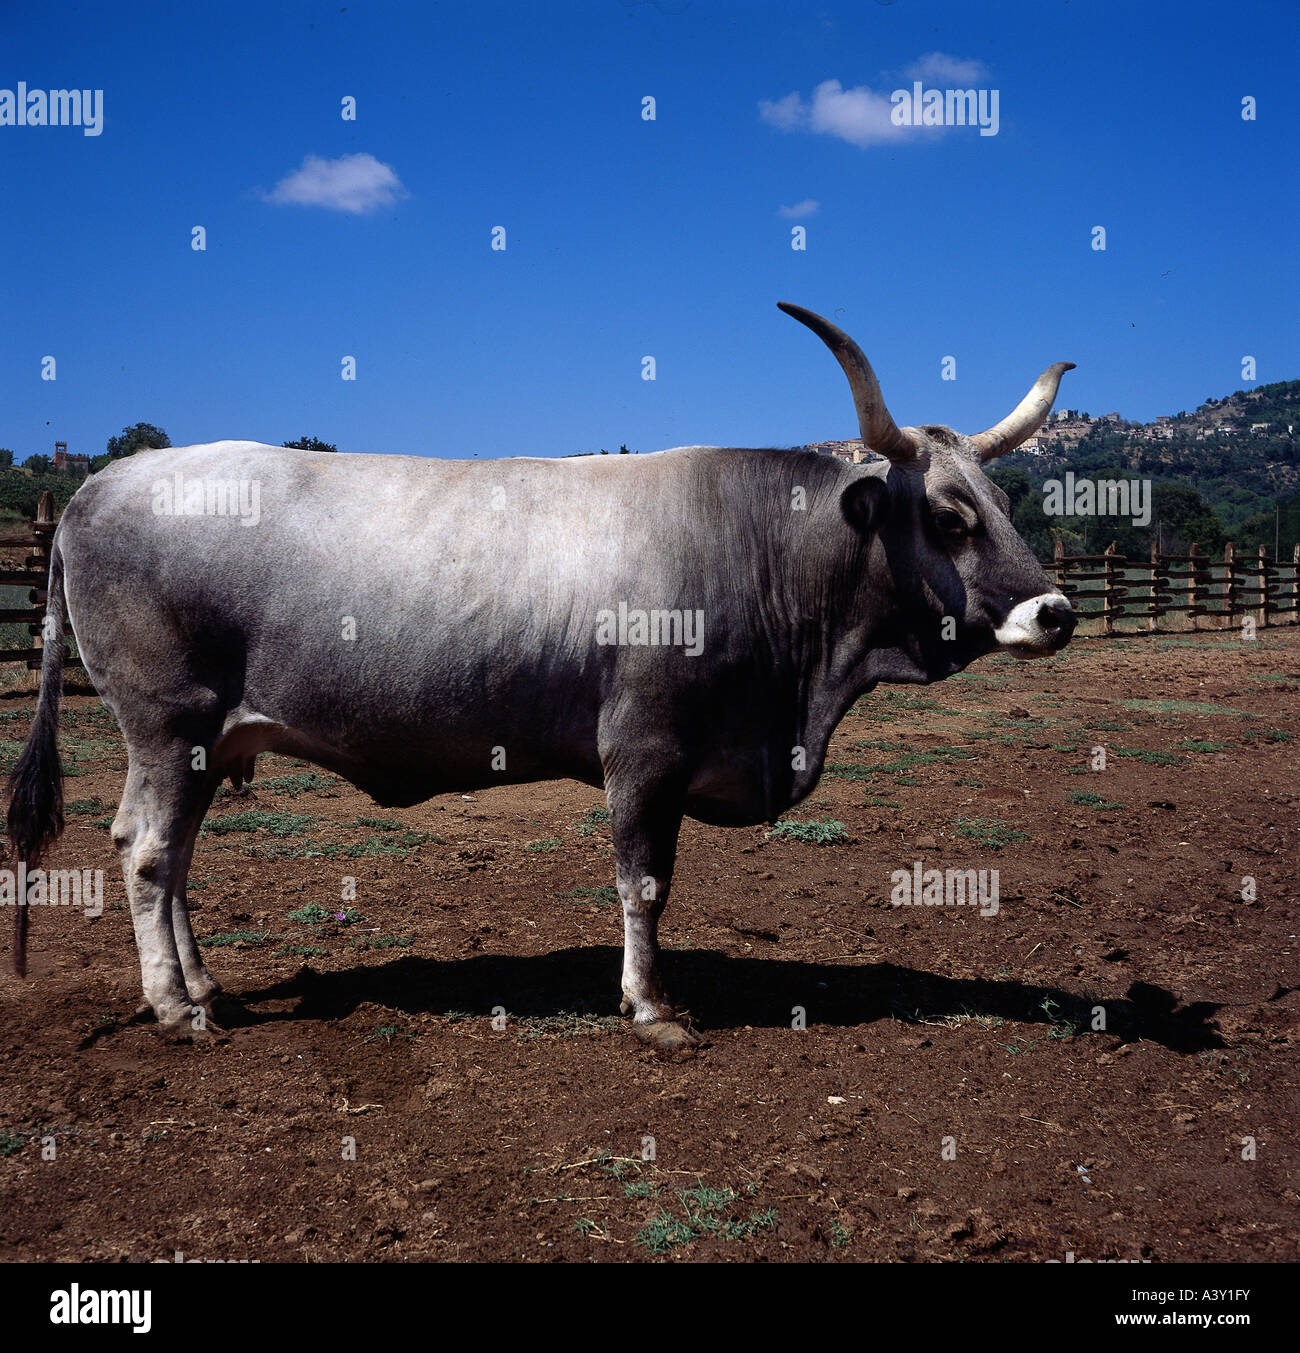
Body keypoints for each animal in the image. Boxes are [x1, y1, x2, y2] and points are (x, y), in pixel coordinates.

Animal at [6, 304, 1076, 1052]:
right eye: (949, 516)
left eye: (1002, 500)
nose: (1056, 611)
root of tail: (100, 484)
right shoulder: (643, 753)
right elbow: (645, 883)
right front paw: (651, 1007)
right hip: (169, 725)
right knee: (150, 854)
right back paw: (175, 1009)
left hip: (198, 741)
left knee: (169, 854)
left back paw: (203, 985)